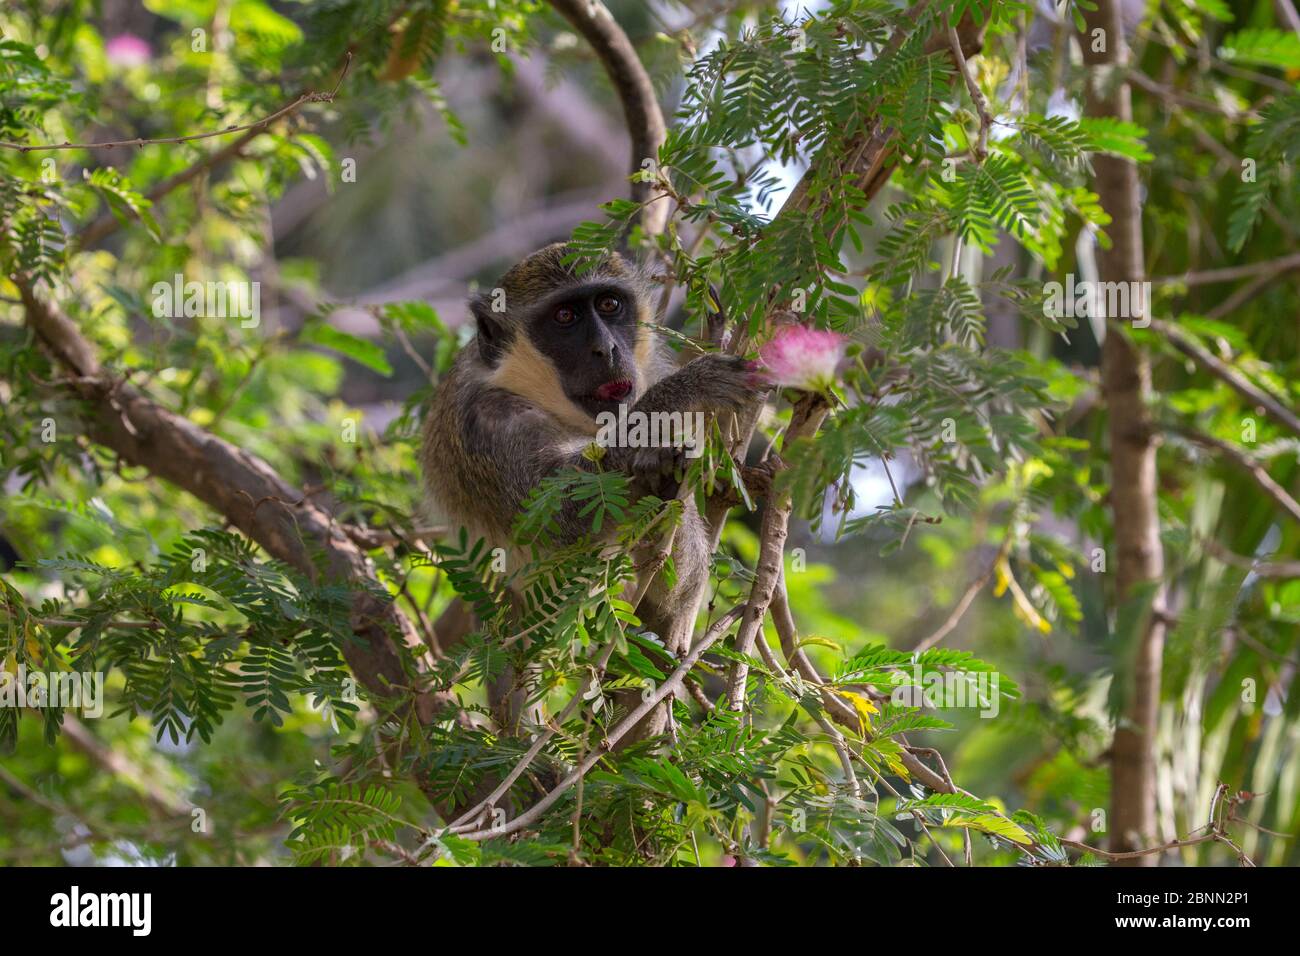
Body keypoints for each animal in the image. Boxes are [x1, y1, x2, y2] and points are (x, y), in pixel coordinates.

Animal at [420, 242, 765, 739]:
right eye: (565, 316)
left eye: (608, 304)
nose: (607, 349)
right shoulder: (487, 424)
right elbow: (561, 512)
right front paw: (682, 391)